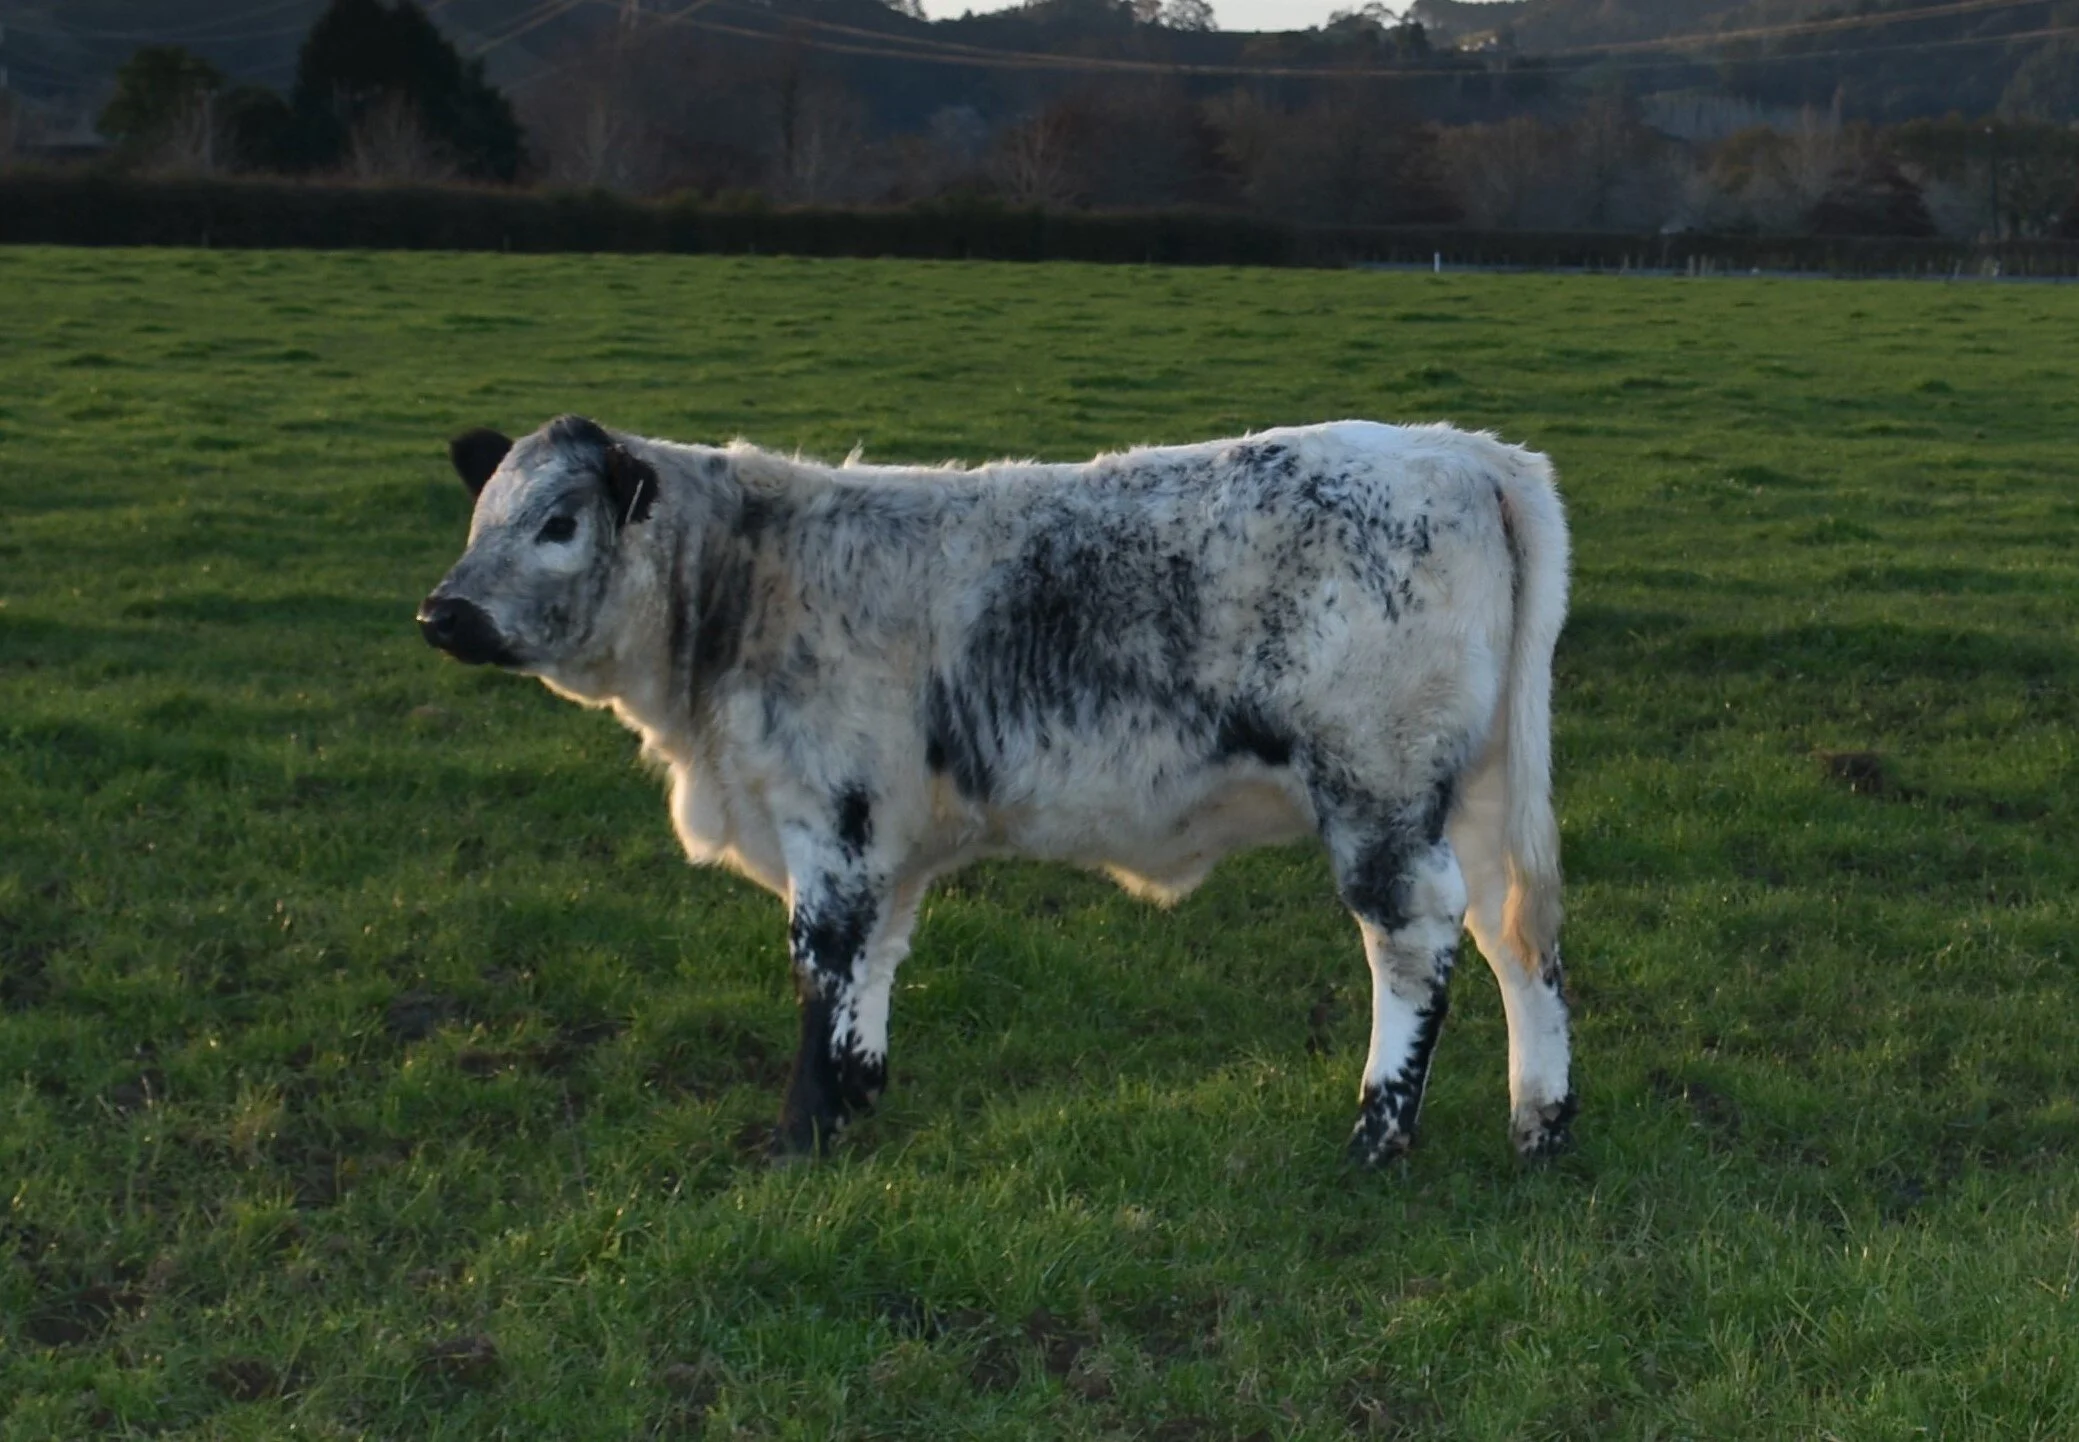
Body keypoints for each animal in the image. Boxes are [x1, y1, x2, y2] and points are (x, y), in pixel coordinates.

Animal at [418, 415, 1574, 1165]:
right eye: (481, 514)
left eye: (558, 522)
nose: (442, 613)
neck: (744, 579)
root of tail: (1461, 452)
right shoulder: (884, 835)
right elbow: (876, 960)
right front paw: (859, 1095)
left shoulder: (832, 818)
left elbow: (821, 965)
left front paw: (800, 1135)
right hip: (1472, 792)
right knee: (1515, 936)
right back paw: (1540, 1122)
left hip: (1377, 786)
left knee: (1415, 941)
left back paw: (1379, 1131)